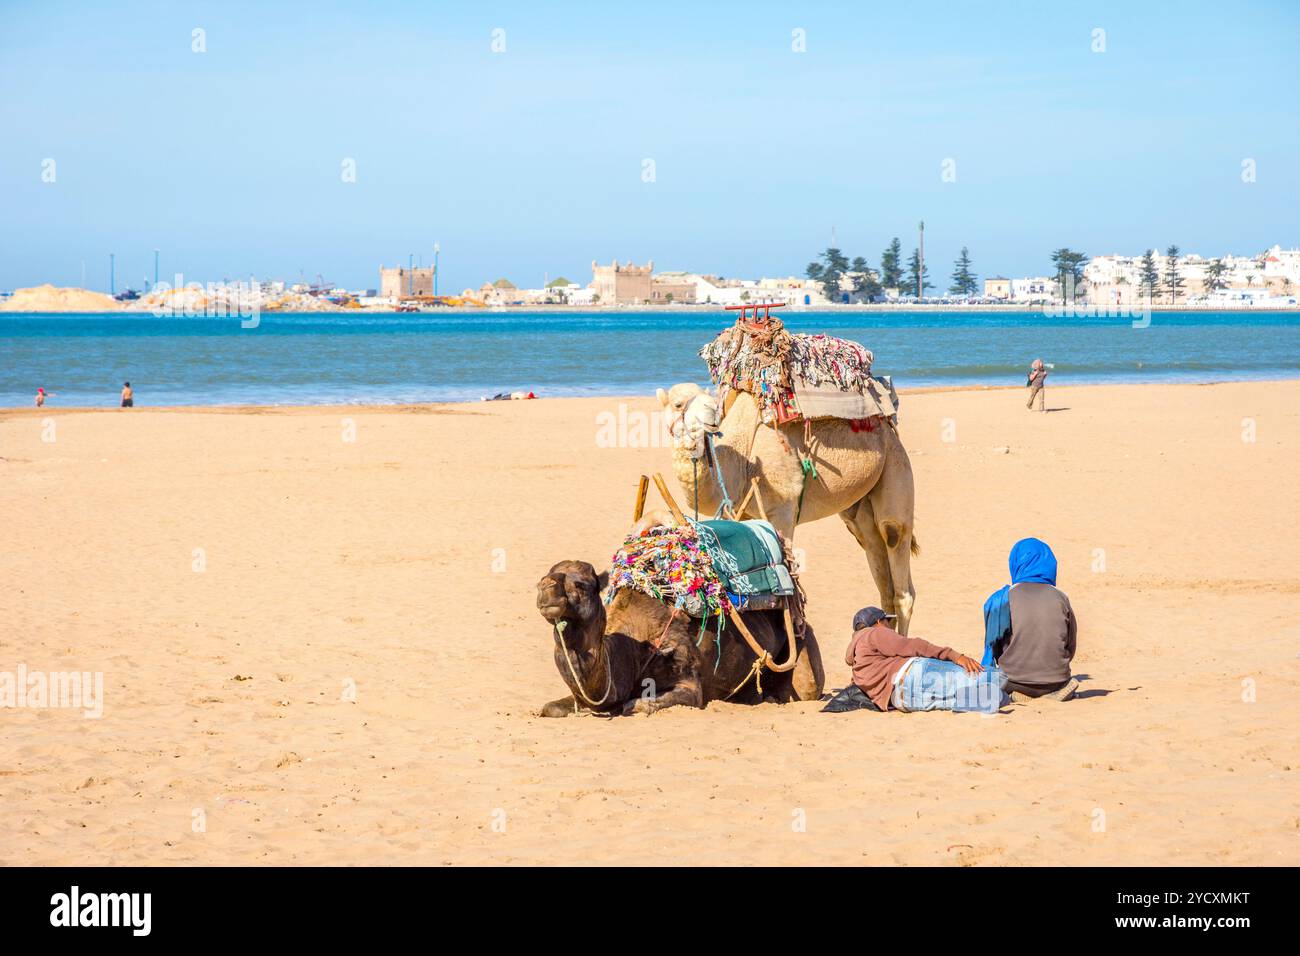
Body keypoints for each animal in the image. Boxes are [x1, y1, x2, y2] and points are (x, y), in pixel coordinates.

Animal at [536, 560, 823, 716]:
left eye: (582, 585)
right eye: (543, 577)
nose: (544, 589)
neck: (631, 654)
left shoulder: (689, 684)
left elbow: (636, 705)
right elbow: (549, 707)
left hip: (801, 639)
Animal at [659, 383, 919, 635]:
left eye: (712, 400)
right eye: (678, 403)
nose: (711, 412)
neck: (742, 463)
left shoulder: (782, 510)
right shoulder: (741, 514)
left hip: (895, 461)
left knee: (894, 539)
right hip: (861, 505)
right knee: (874, 553)